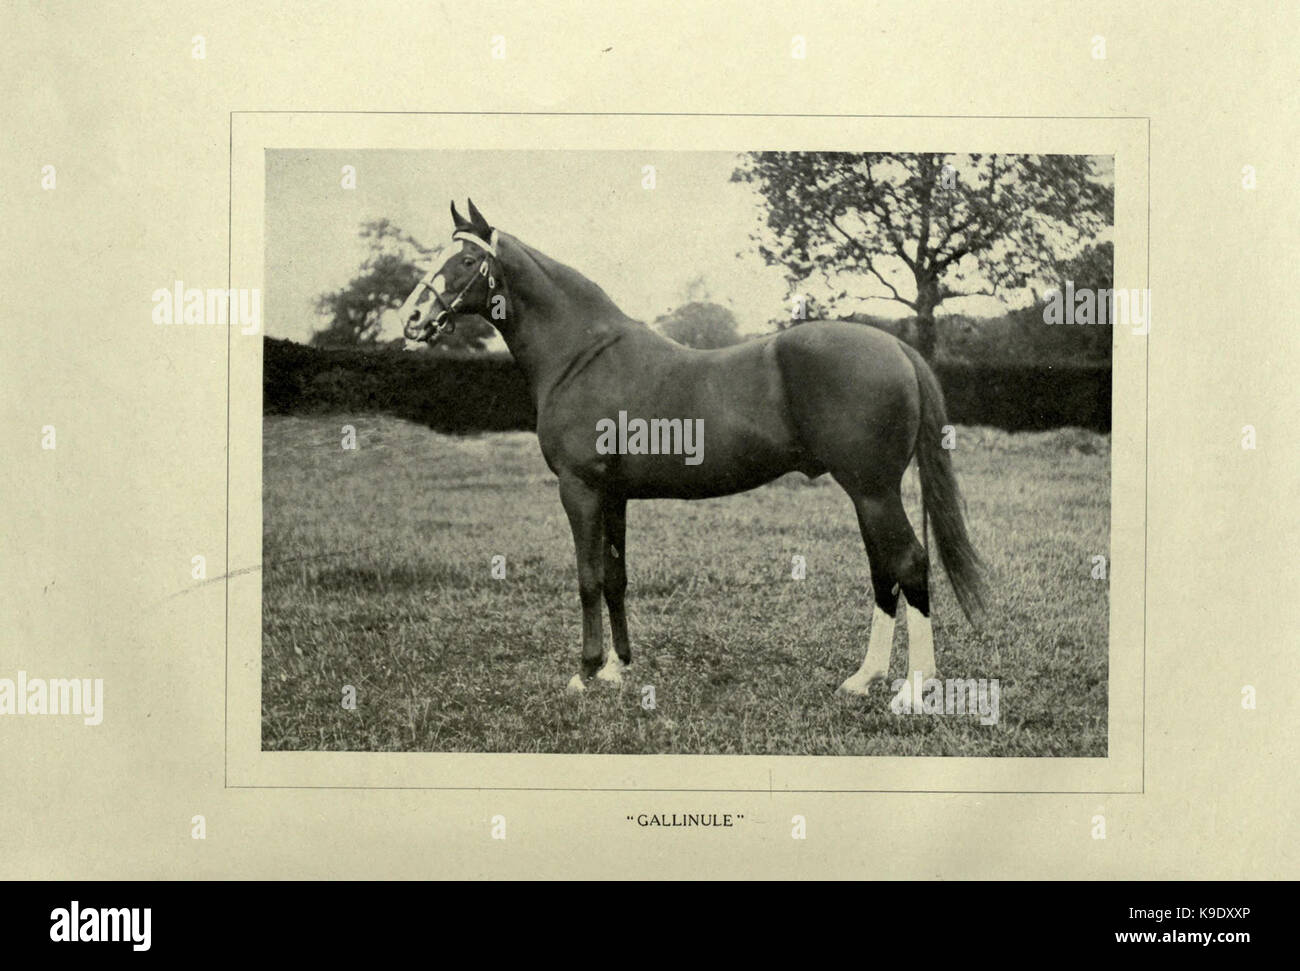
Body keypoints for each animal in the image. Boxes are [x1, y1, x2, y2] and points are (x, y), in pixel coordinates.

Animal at [399, 199, 985, 695]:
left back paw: (913, 689)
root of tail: (897, 348)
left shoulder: (580, 490)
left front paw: (584, 674)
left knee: (908, 563)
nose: (411, 319)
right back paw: (863, 680)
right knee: (885, 571)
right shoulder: (613, 495)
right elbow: (615, 577)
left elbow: (587, 578)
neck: (582, 355)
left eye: (467, 259)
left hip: (873, 490)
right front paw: (617, 668)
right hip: (869, 495)